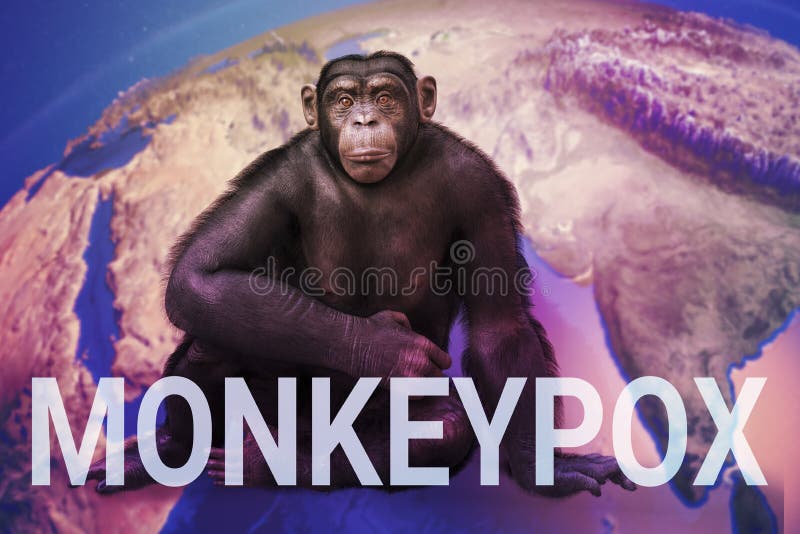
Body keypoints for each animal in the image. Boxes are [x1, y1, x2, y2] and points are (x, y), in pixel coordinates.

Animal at [84, 51, 635, 497]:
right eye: (344, 99)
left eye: (386, 97)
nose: (366, 118)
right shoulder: (279, 175)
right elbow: (201, 275)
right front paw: (387, 348)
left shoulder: (480, 187)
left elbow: (499, 327)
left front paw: (541, 468)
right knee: (212, 341)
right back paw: (166, 456)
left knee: (446, 427)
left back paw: (270, 465)